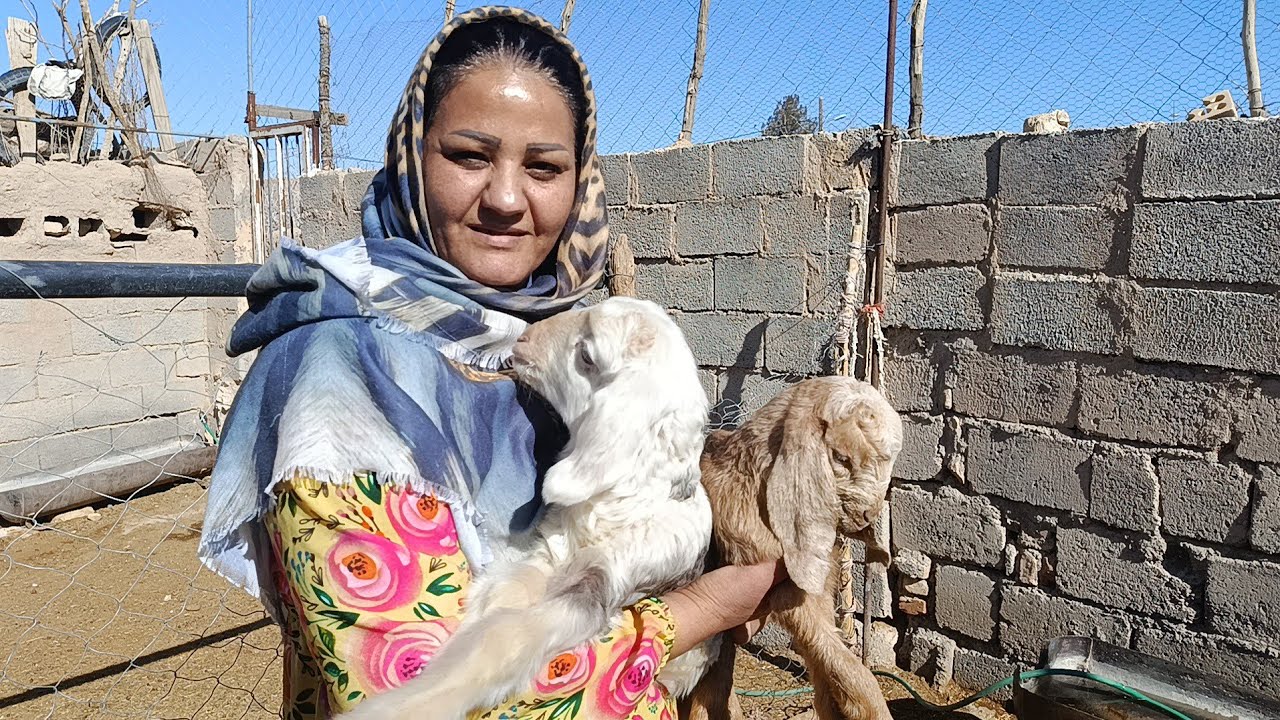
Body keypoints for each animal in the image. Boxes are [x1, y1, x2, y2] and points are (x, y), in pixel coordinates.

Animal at [338, 296, 713, 720]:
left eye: (587, 355)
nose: (525, 339)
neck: (613, 508)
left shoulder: (598, 588)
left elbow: (507, 635)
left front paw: (413, 703)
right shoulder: (550, 553)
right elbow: (511, 591)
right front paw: (481, 608)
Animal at [682, 376, 903, 720]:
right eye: (841, 458)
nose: (868, 515)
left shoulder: (819, 586)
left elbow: (825, 657)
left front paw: (839, 707)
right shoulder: (785, 591)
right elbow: (846, 662)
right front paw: (871, 710)